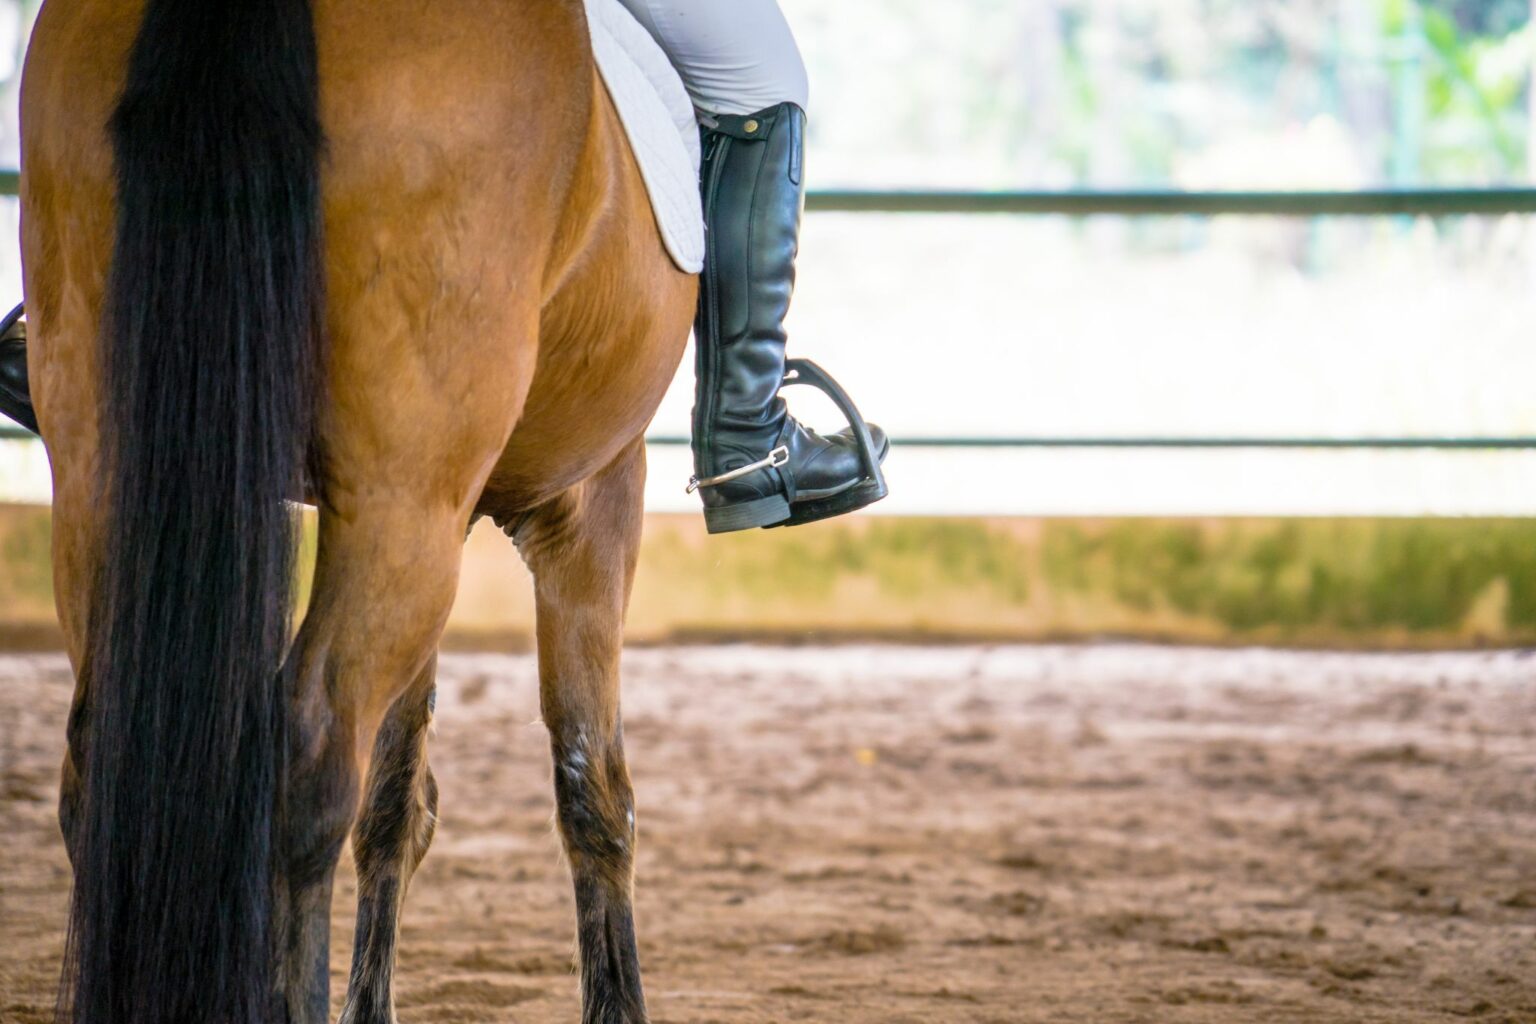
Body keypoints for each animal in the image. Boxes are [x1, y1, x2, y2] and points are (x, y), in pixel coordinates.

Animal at [21, 0, 694, 1021]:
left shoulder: (450, 509)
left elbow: (398, 800)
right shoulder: (589, 499)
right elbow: (595, 791)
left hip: (112, 477)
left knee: (109, 762)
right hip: (402, 504)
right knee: (307, 760)